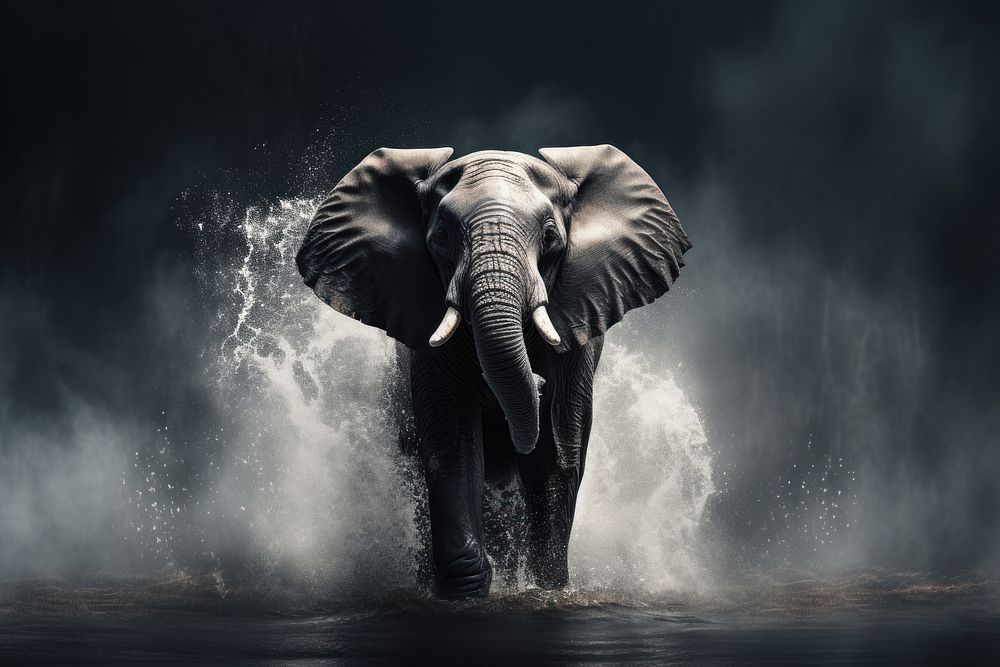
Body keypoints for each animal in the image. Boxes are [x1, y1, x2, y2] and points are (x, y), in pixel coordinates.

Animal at [296, 145, 690, 599]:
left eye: (550, 238)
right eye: (441, 238)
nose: (537, 382)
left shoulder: (579, 334)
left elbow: (557, 452)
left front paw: (548, 589)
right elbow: (453, 447)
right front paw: (466, 594)